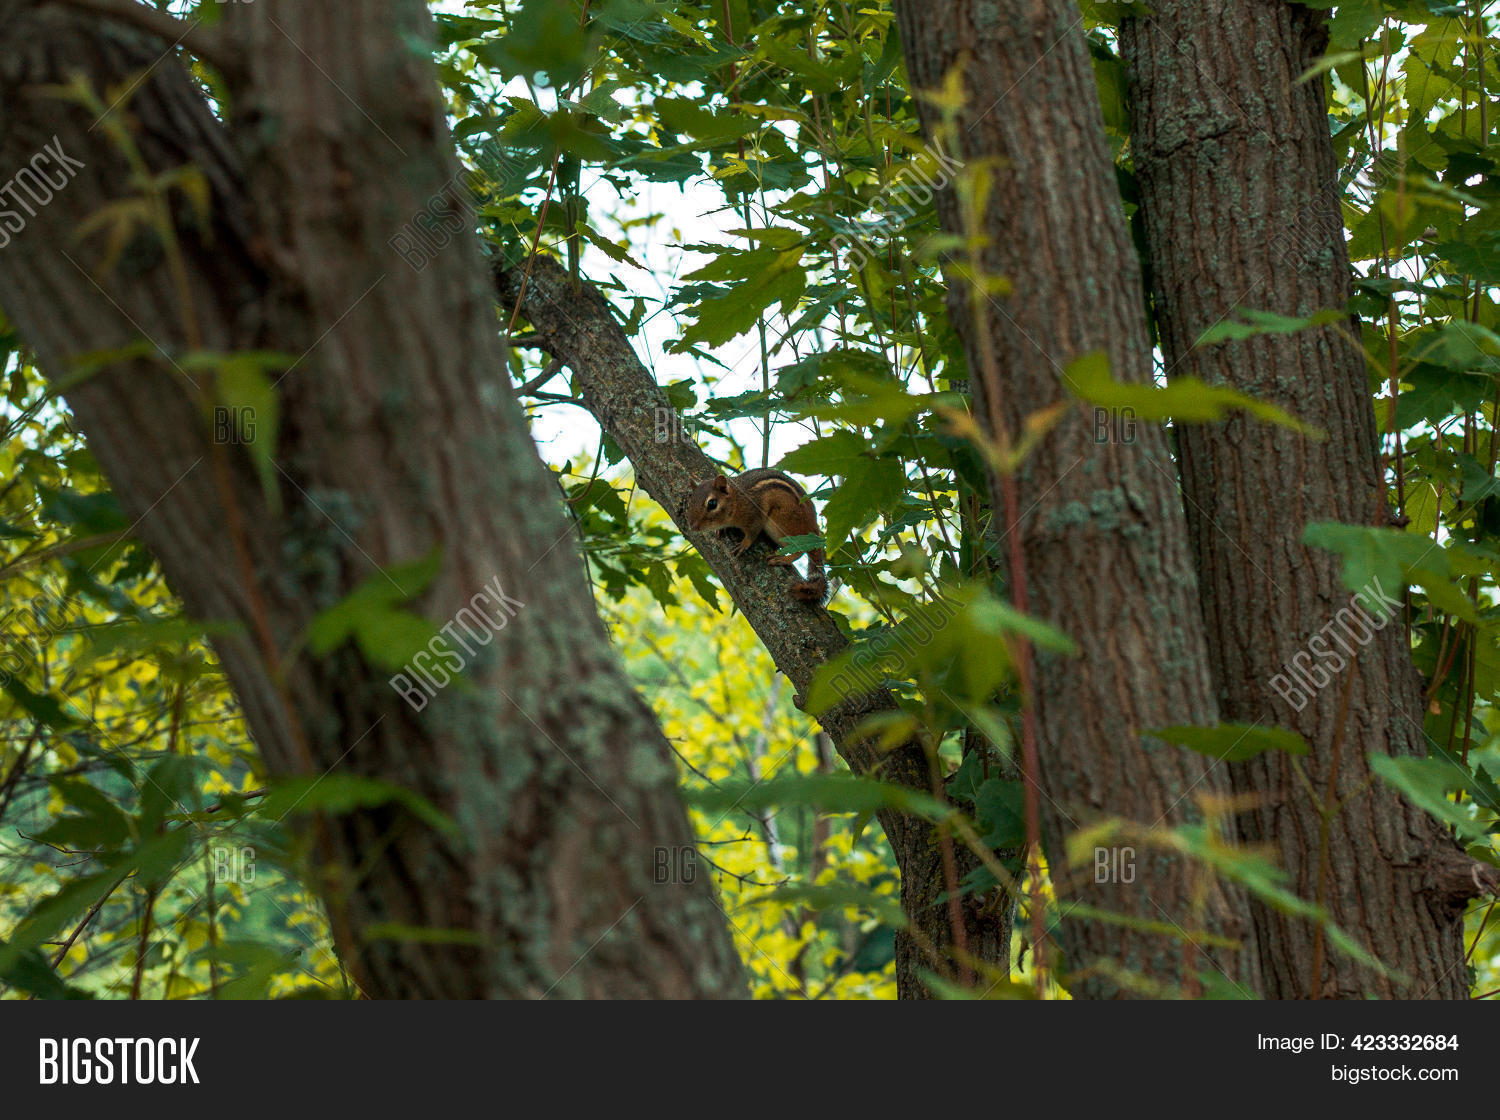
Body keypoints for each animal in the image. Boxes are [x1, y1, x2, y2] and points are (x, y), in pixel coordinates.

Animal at [685, 468, 827, 603]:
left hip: (782, 525)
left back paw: (783, 559)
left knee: (800, 550)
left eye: (712, 503)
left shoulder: (755, 517)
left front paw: (743, 545)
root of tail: (814, 530)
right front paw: (722, 529)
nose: (692, 526)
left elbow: (752, 533)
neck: (737, 498)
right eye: (690, 500)